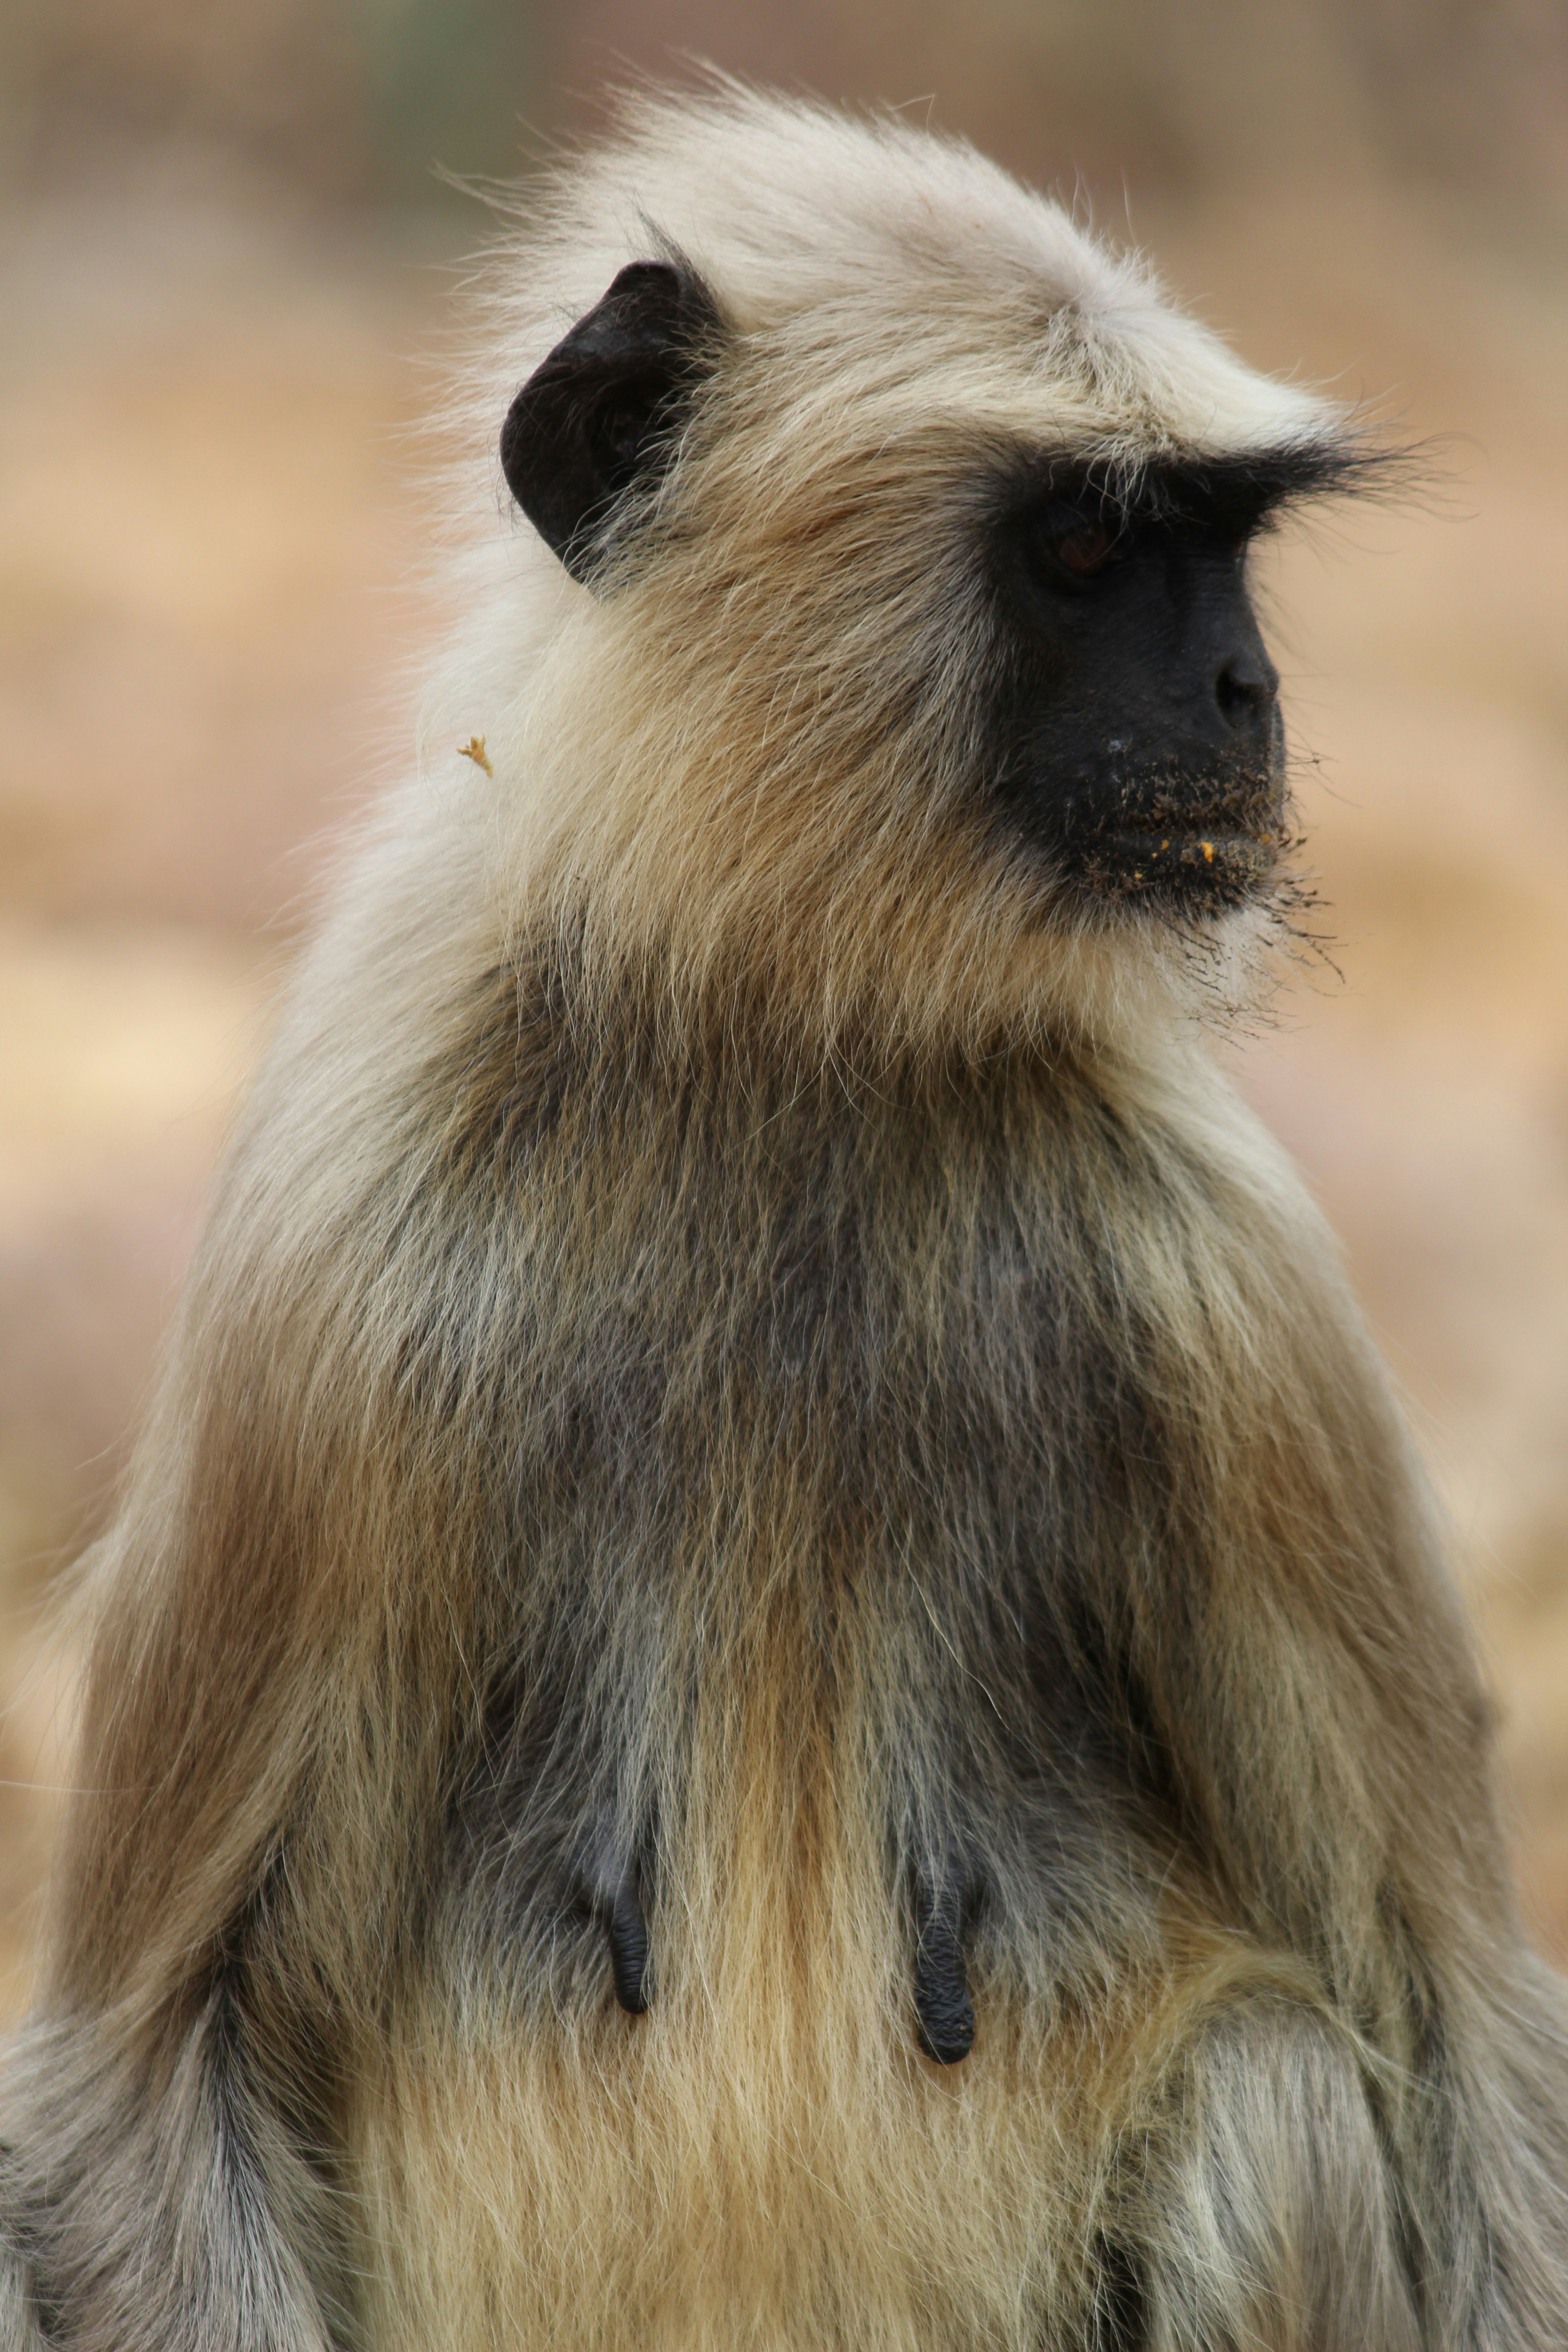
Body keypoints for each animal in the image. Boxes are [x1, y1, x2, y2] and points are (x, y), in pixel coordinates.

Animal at [2, 82, 1567, 2352]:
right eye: (1085, 546)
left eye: (1224, 547)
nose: (1243, 689)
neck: (786, 1039)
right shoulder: (335, 1231)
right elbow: (148, 2063)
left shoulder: (1221, 1262)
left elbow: (1451, 2034)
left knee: (1274, 2087)